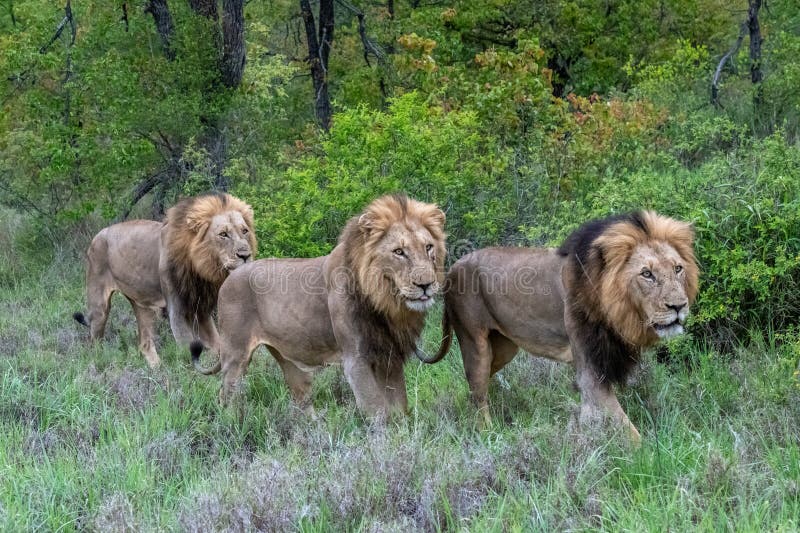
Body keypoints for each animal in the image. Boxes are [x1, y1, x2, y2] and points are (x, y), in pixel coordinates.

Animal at [73, 192, 256, 368]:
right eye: (223, 234)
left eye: (245, 231)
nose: (245, 255)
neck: (201, 269)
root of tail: (97, 236)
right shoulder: (177, 311)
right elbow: (187, 347)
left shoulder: (202, 310)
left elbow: (217, 345)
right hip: (99, 306)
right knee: (95, 343)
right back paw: (98, 365)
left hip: (142, 305)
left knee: (145, 343)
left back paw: (157, 370)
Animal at [191, 194, 446, 417]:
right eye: (399, 252)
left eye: (428, 247)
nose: (426, 285)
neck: (385, 301)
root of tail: (229, 277)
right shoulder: (356, 360)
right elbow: (378, 411)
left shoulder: (389, 356)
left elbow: (400, 407)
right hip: (236, 356)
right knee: (226, 397)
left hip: (287, 356)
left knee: (300, 396)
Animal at [419, 211, 698, 442]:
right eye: (646, 274)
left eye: (678, 269)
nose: (679, 306)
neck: (618, 311)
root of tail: (453, 267)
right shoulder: (589, 366)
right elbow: (626, 429)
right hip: (474, 341)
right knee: (477, 392)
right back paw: (488, 433)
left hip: (502, 348)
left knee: (476, 385)